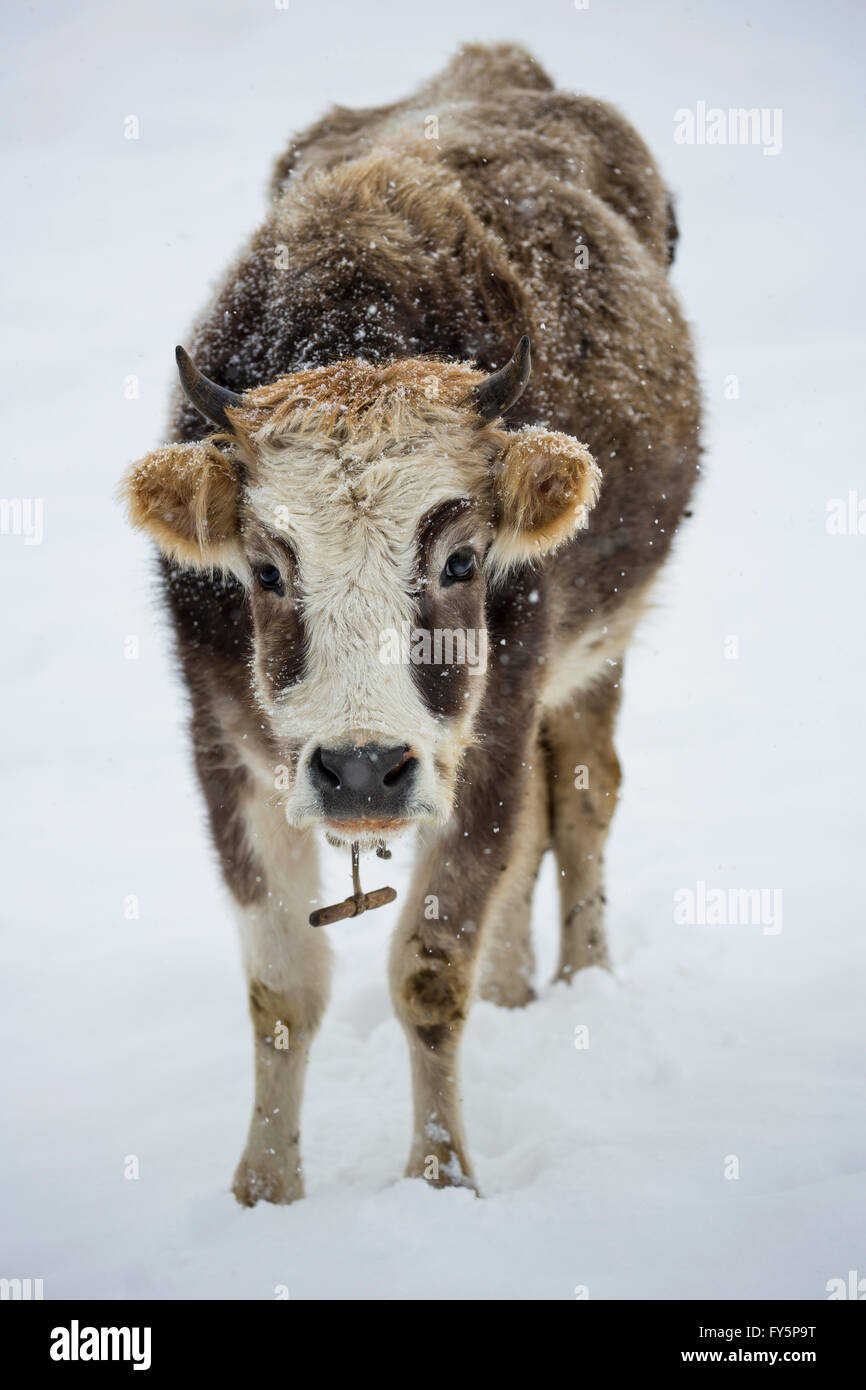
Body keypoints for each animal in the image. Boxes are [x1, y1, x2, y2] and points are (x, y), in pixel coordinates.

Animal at [121, 43, 700, 1205]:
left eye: (461, 558)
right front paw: (263, 1193)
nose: (360, 772)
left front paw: (441, 1178)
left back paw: (581, 981)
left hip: (590, 659)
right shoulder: (225, 745)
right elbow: (283, 985)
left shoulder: (482, 736)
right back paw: (520, 988)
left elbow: (430, 966)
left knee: (581, 800)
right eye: (265, 566)